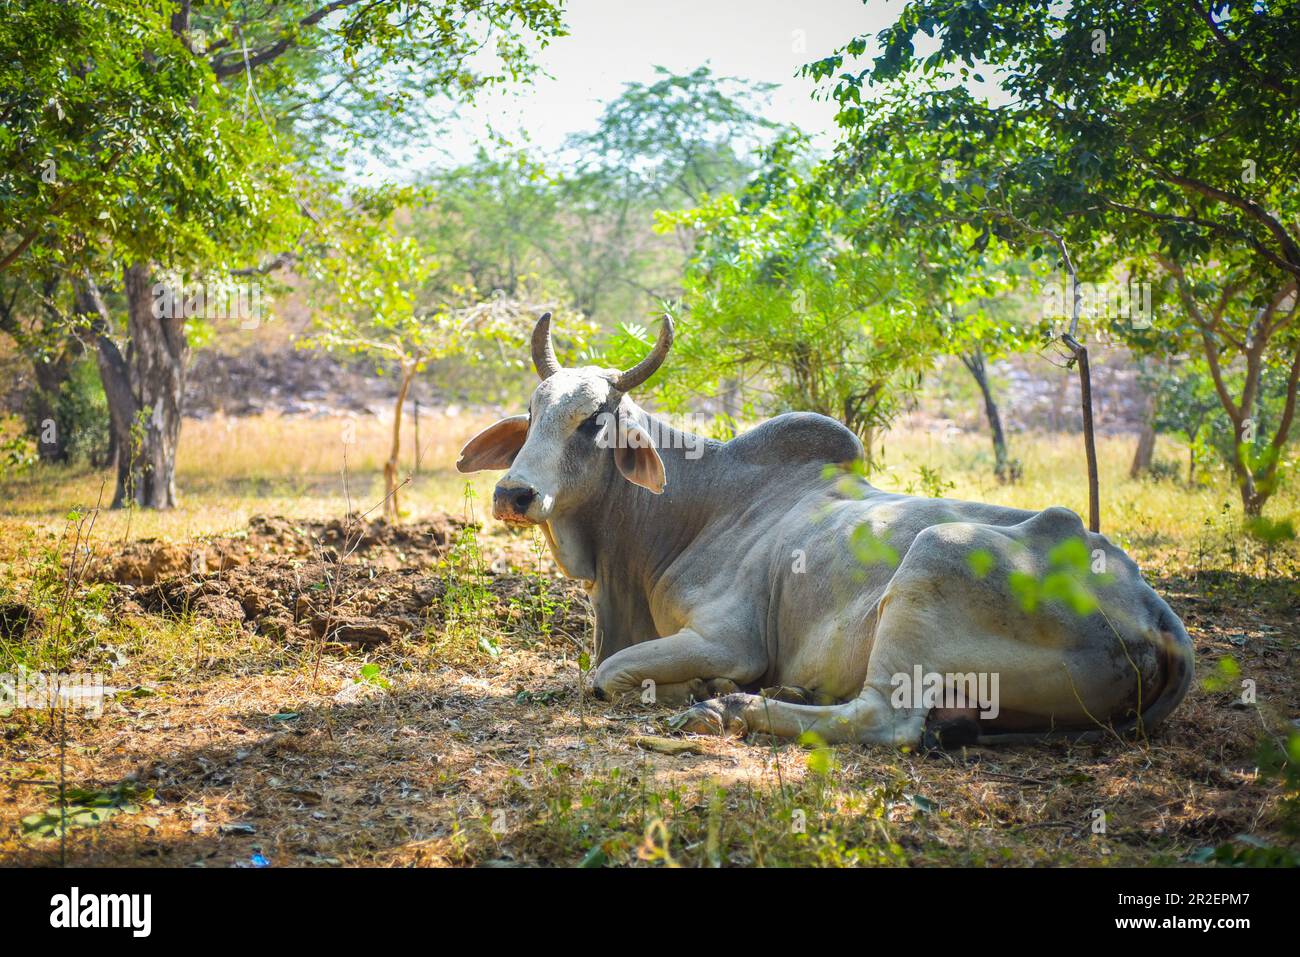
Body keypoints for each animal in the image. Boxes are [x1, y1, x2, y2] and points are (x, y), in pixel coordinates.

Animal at [456, 313, 1194, 747]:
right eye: (533, 414)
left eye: (591, 423)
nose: (514, 493)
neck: (687, 511)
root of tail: (1151, 609)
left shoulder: (728, 640)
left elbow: (607, 673)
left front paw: (699, 690)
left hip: (935, 560)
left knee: (885, 720)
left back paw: (735, 708)